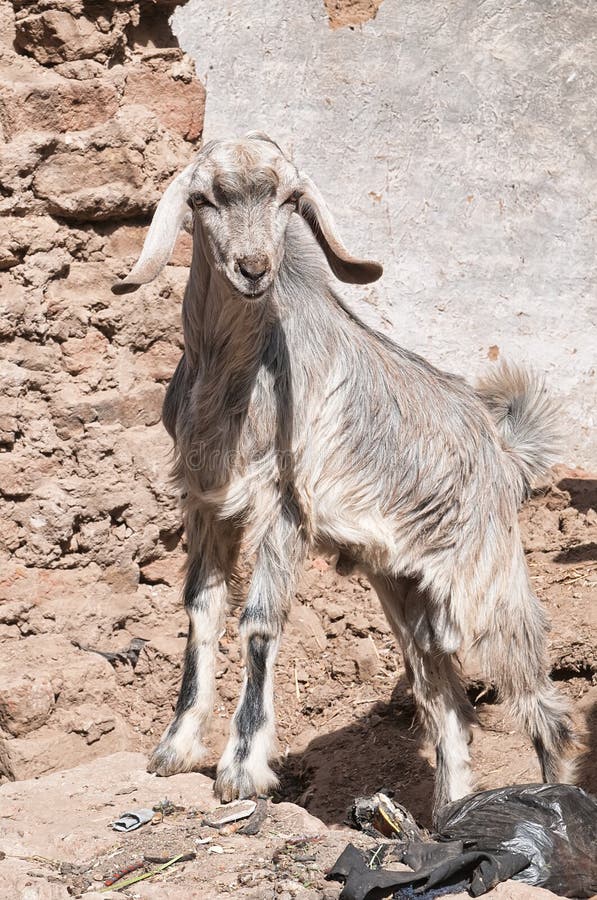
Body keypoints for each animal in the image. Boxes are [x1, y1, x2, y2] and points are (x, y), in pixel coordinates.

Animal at [113, 133, 574, 817]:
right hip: (405, 589)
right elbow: (201, 610)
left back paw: (556, 803)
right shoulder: (205, 501)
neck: (234, 377)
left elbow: (259, 622)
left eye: (286, 199)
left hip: (485, 587)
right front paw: (175, 747)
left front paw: (242, 769)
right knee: (446, 704)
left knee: (543, 707)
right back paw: (448, 819)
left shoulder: (284, 505)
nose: (254, 268)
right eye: (203, 200)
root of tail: (503, 451)